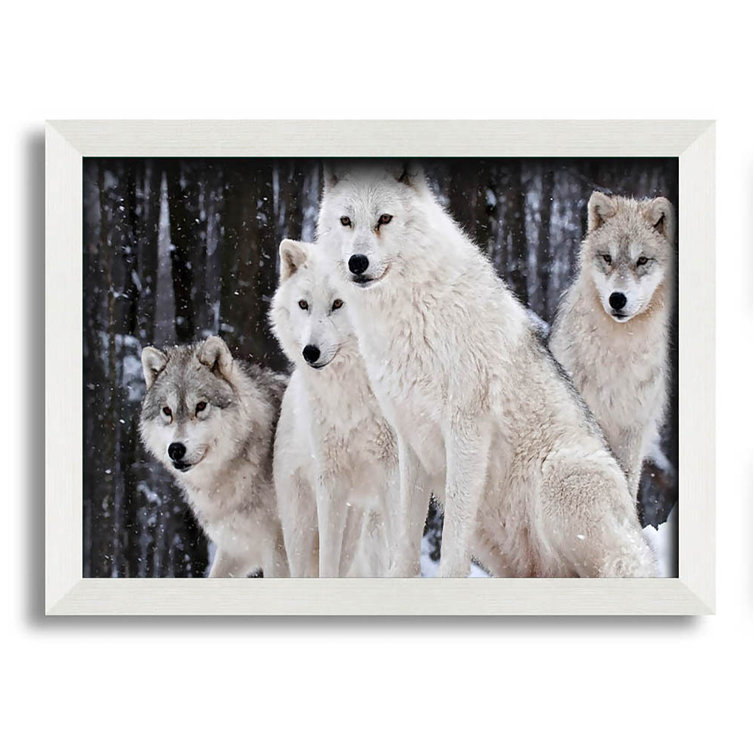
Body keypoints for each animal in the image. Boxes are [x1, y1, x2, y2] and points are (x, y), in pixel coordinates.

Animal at [270, 239, 397, 577]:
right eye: (303, 304)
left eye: (339, 303)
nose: (310, 352)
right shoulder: (330, 481)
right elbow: (327, 561)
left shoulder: (395, 474)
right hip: (302, 526)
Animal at [317, 163, 657, 578]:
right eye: (346, 221)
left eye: (384, 219)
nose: (357, 262)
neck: (409, 313)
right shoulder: (410, 438)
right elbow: (407, 534)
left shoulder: (467, 429)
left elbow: (452, 534)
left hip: (559, 477)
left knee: (622, 564)